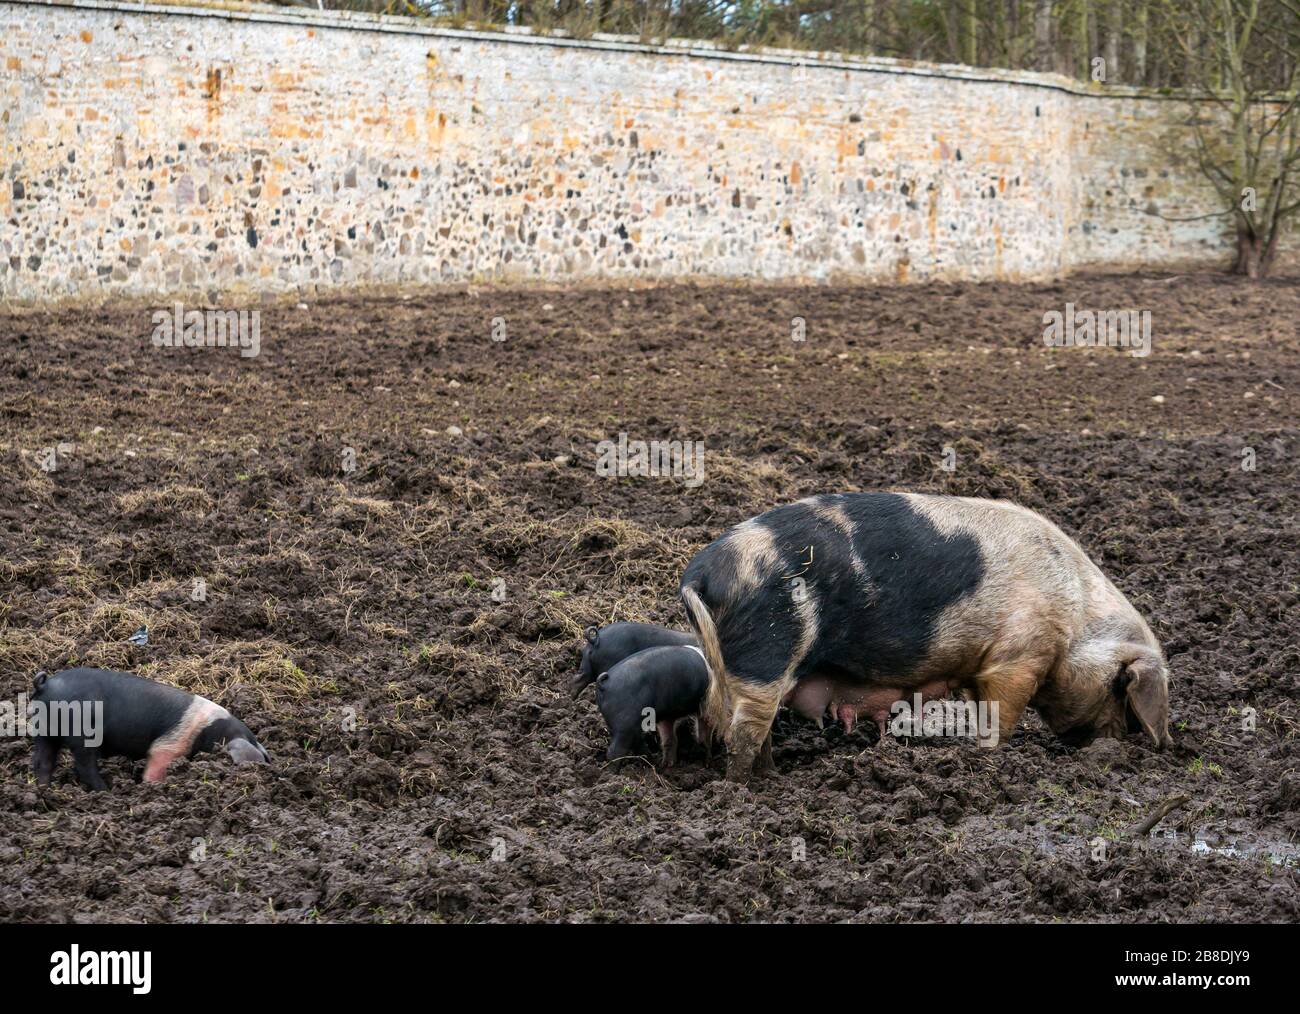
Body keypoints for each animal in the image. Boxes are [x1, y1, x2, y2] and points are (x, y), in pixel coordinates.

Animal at [29, 667, 269, 791]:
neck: (210, 729)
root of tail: (46, 684)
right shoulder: (170, 744)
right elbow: (156, 763)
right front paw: (152, 786)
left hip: (44, 731)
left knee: (43, 761)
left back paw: (44, 790)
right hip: (82, 732)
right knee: (84, 765)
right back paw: (105, 791)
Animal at [680, 492, 1172, 781]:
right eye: (1120, 690)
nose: (1110, 748)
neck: (1077, 623)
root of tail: (699, 575)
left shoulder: (980, 665)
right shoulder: (1018, 656)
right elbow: (1004, 715)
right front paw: (992, 758)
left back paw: (771, 777)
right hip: (768, 653)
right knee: (744, 732)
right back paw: (747, 790)